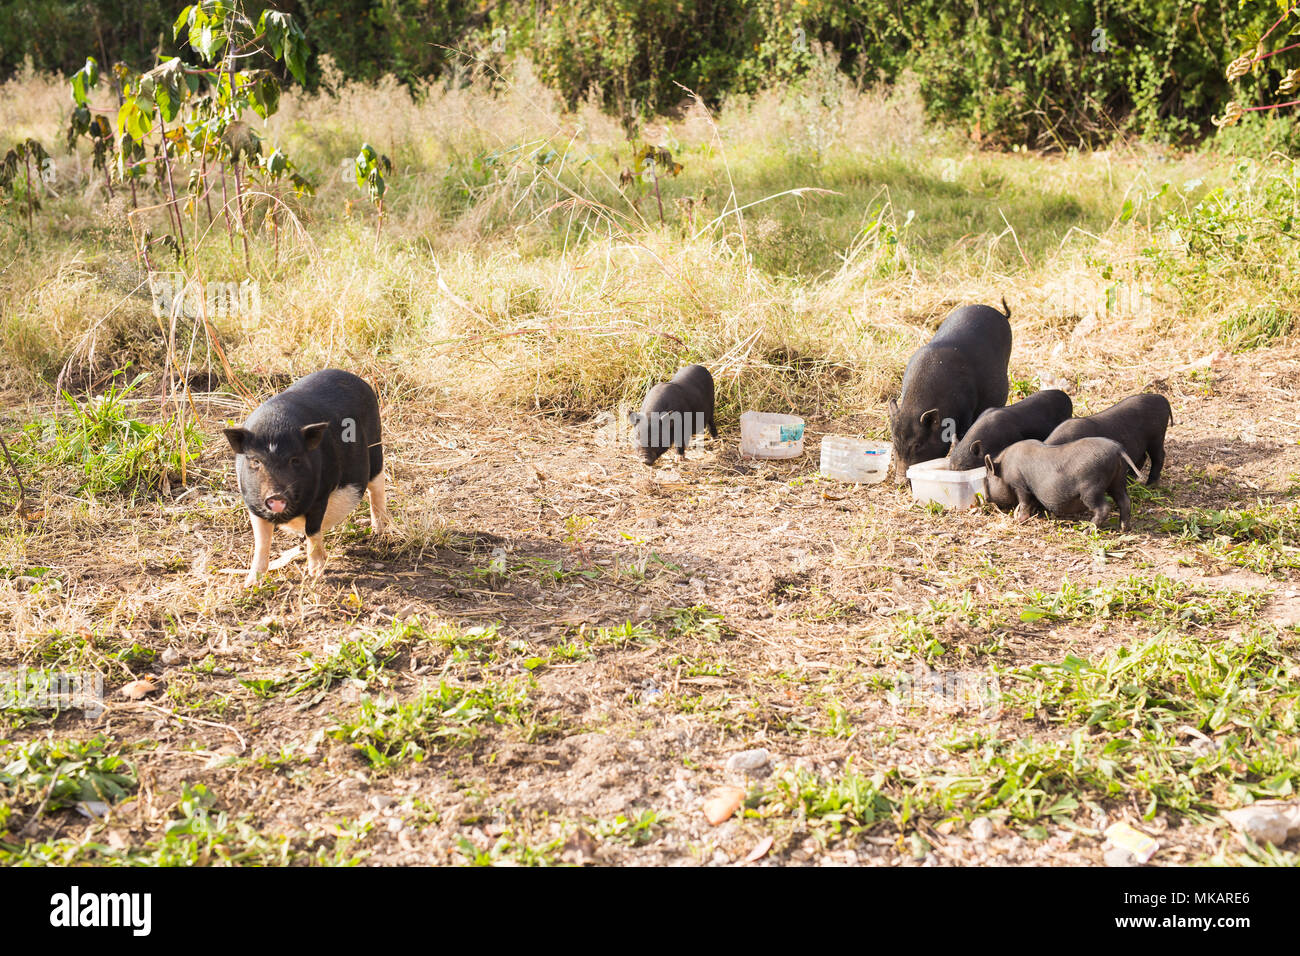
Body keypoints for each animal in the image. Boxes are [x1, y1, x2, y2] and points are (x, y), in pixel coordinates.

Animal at [223, 369, 389, 585]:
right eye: (256, 461)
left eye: (295, 459)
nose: (276, 496)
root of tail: (357, 379)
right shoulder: (253, 505)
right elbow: (262, 541)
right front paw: (250, 584)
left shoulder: (321, 495)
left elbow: (312, 531)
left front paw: (316, 575)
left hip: (376, 447)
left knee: (377, 486)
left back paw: (380, 530)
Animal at [982, 437, 1140, 531]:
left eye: (987, 478)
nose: (985, 497)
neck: (1003, 469)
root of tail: (1118, 450)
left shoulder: (1019, 484)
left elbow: (1024, 502)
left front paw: (1019, 520)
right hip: (1118, 480)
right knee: (1124, 501)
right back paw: (1123, 528)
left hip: (1091, 489)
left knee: (1104, 507)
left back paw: (1087, 531)